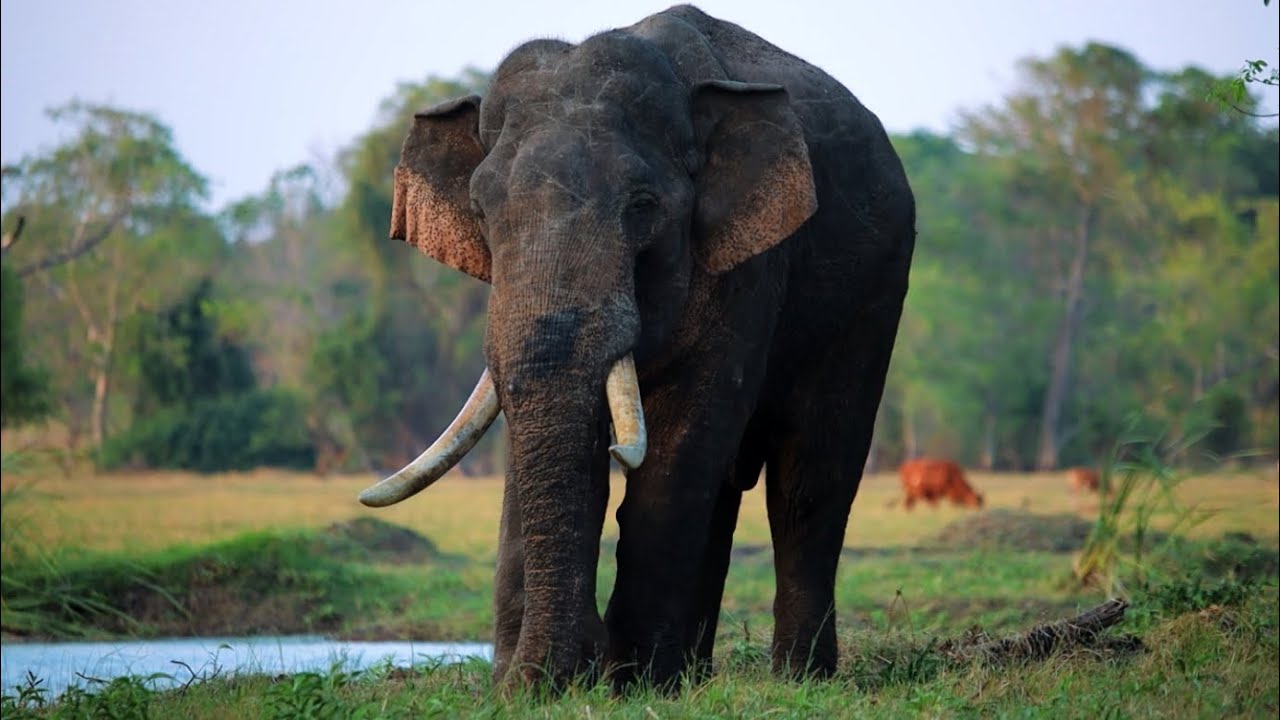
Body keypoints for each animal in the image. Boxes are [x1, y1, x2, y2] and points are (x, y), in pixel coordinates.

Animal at [358, 4, 916, 692]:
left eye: (643, 205)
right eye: (482, 211)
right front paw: (531, 684)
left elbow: (684, 437)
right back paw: (693, 677)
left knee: (808, 481)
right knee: (727, 489)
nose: (557, 673)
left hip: (875, 291)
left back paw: (798, 679)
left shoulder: (749, 263)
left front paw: (629, 682)